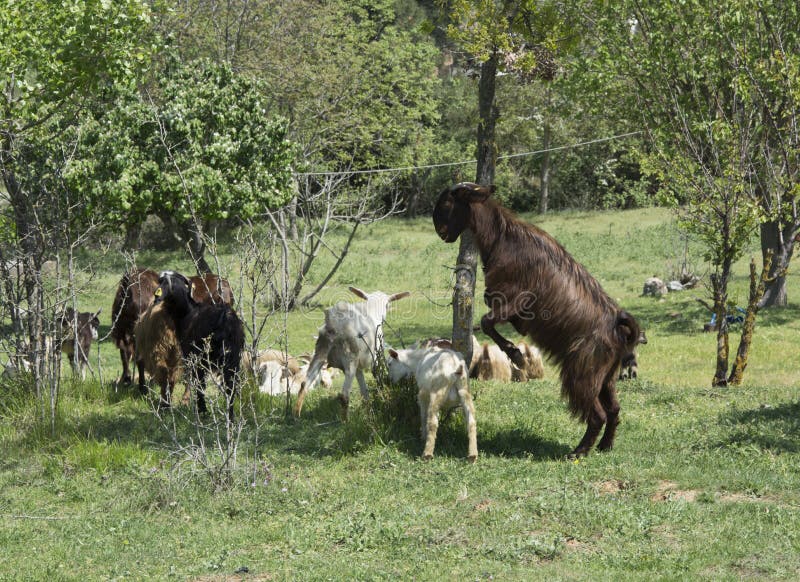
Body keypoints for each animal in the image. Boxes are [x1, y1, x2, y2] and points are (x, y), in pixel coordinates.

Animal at [155, 271, 244, 419]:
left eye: (168, 282)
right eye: (161, 280)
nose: (157, 297)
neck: (187, 313)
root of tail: (225, 317)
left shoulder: (193, 358)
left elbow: (198, 384)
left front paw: (201, 410)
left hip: (206, 356)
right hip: (233, 358)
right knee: (230, 387)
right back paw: (230, 418)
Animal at [293, 286, 410, 418]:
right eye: (387, 305)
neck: (372, 309)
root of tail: (334, 326)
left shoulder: (359, 367)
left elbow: (364, 391)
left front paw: (369, 411)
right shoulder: (376, 357)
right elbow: (377, 378)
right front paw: (381, 397)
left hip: (320, 352)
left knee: (304, 385)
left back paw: (296, 416)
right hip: (350, 360)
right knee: (344, 396)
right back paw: (345, 421)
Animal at [433, 182, 642, 457]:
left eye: (448, 202)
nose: (439, 230)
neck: (502, 237)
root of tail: (617, 330)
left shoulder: (517, 300)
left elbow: (487, 321)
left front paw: (516, 355)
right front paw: (516, 350)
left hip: (581, 374)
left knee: (598, 415)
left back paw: (578, 452)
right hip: (605, 377)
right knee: (614, 410)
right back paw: (605, 446)